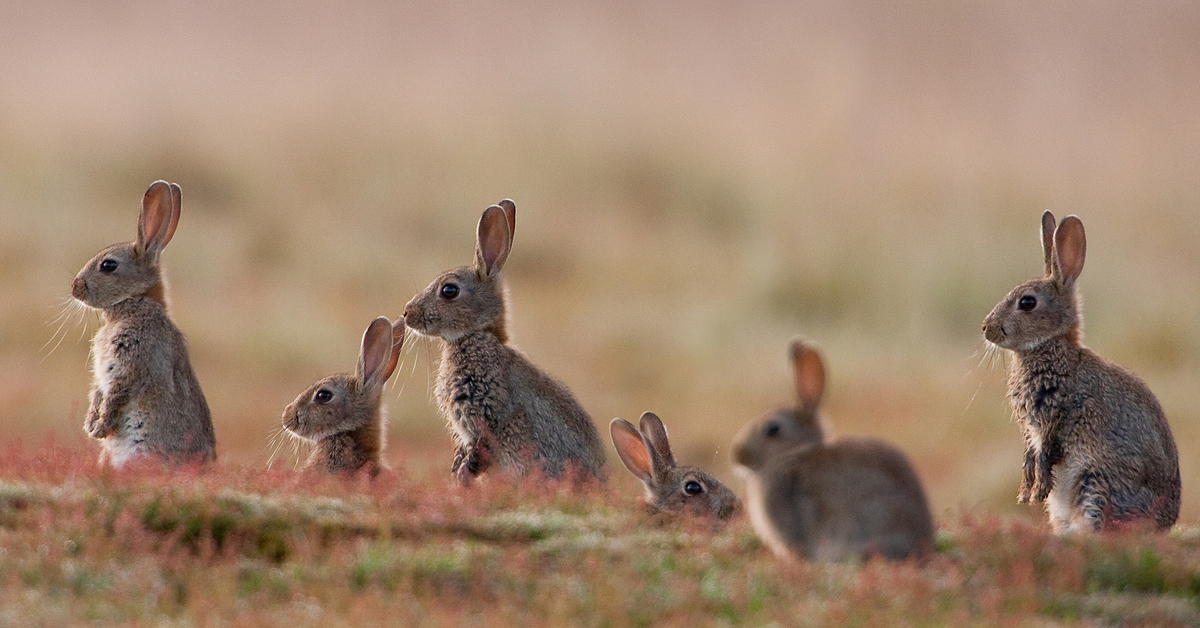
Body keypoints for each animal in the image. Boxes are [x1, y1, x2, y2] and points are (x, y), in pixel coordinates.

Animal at [71, 180, 217, 467]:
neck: (135, 302)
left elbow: (115, 395)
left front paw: (99, 427)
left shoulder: (132, 364)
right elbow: (97, 393)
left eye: (108, 265)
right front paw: (91, 426)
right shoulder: (103, 374)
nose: (75, 288)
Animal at [402, 200, 607, 484]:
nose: (407, 313)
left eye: (449, 290)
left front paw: (462, 480)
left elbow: (478, 453)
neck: (477, 335)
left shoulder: (488, 416)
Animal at [982, 211, 1180, 533]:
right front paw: (1026, 493)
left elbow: (1045, 454)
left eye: (1027, 302)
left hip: (1097, 482)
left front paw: (1037, 491)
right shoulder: (1032, 430)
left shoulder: (1057, 417)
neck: (1050, 348)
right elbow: (1029, 456)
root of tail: (1162, 525)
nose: (986, 328)